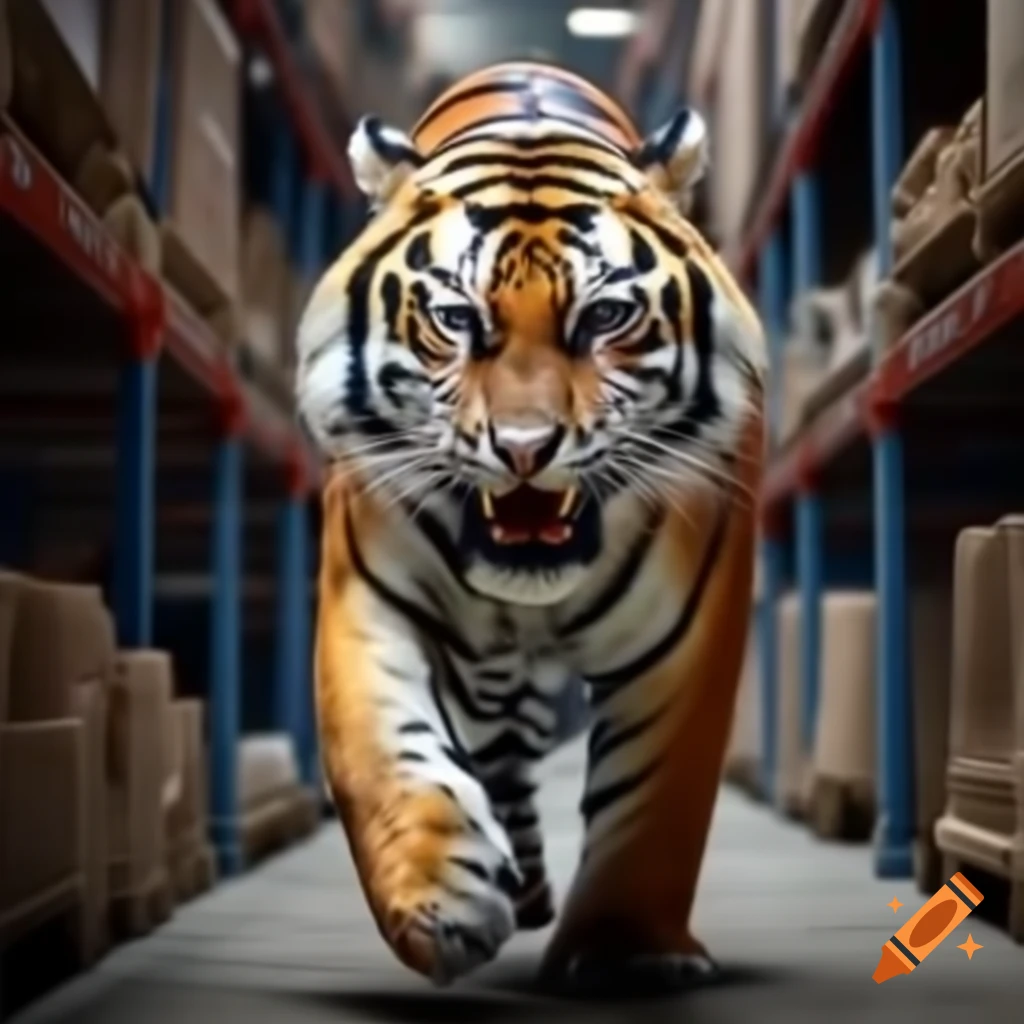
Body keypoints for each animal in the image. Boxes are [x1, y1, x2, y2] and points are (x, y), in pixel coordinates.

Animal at [296, 61, 766, 992]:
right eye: (455, 320)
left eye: (607, 318)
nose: (522, 447)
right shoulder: (368, 598)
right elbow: (378, 752)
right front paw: (437, 902)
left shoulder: (686, 640)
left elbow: (657, 799)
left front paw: (627, 951)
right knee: (497, 753)